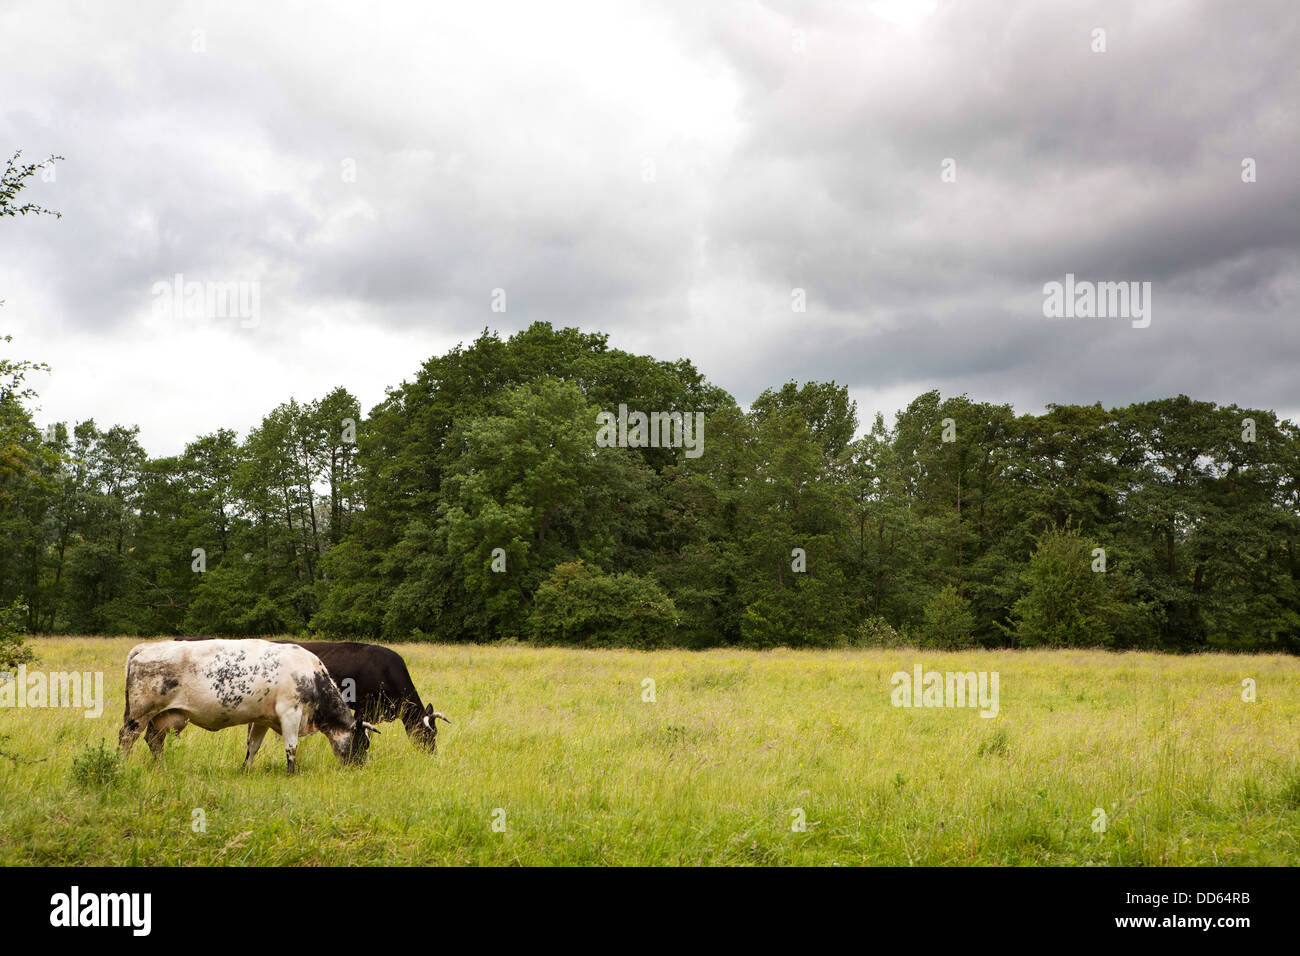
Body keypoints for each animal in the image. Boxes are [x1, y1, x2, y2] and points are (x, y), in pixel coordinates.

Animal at [120, 639, 379, 774]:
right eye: (363, 744)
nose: (363, 767)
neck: (311, 676)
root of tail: (144, 648)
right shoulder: (290, 713)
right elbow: (291, 747)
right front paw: (292, 773)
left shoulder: (262, 719)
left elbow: (253, 746)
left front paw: (245, 769)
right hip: (139, 713)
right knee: (127, 738)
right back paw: (121, 766)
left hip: (163, 717)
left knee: (154, 741)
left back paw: (162, 768)